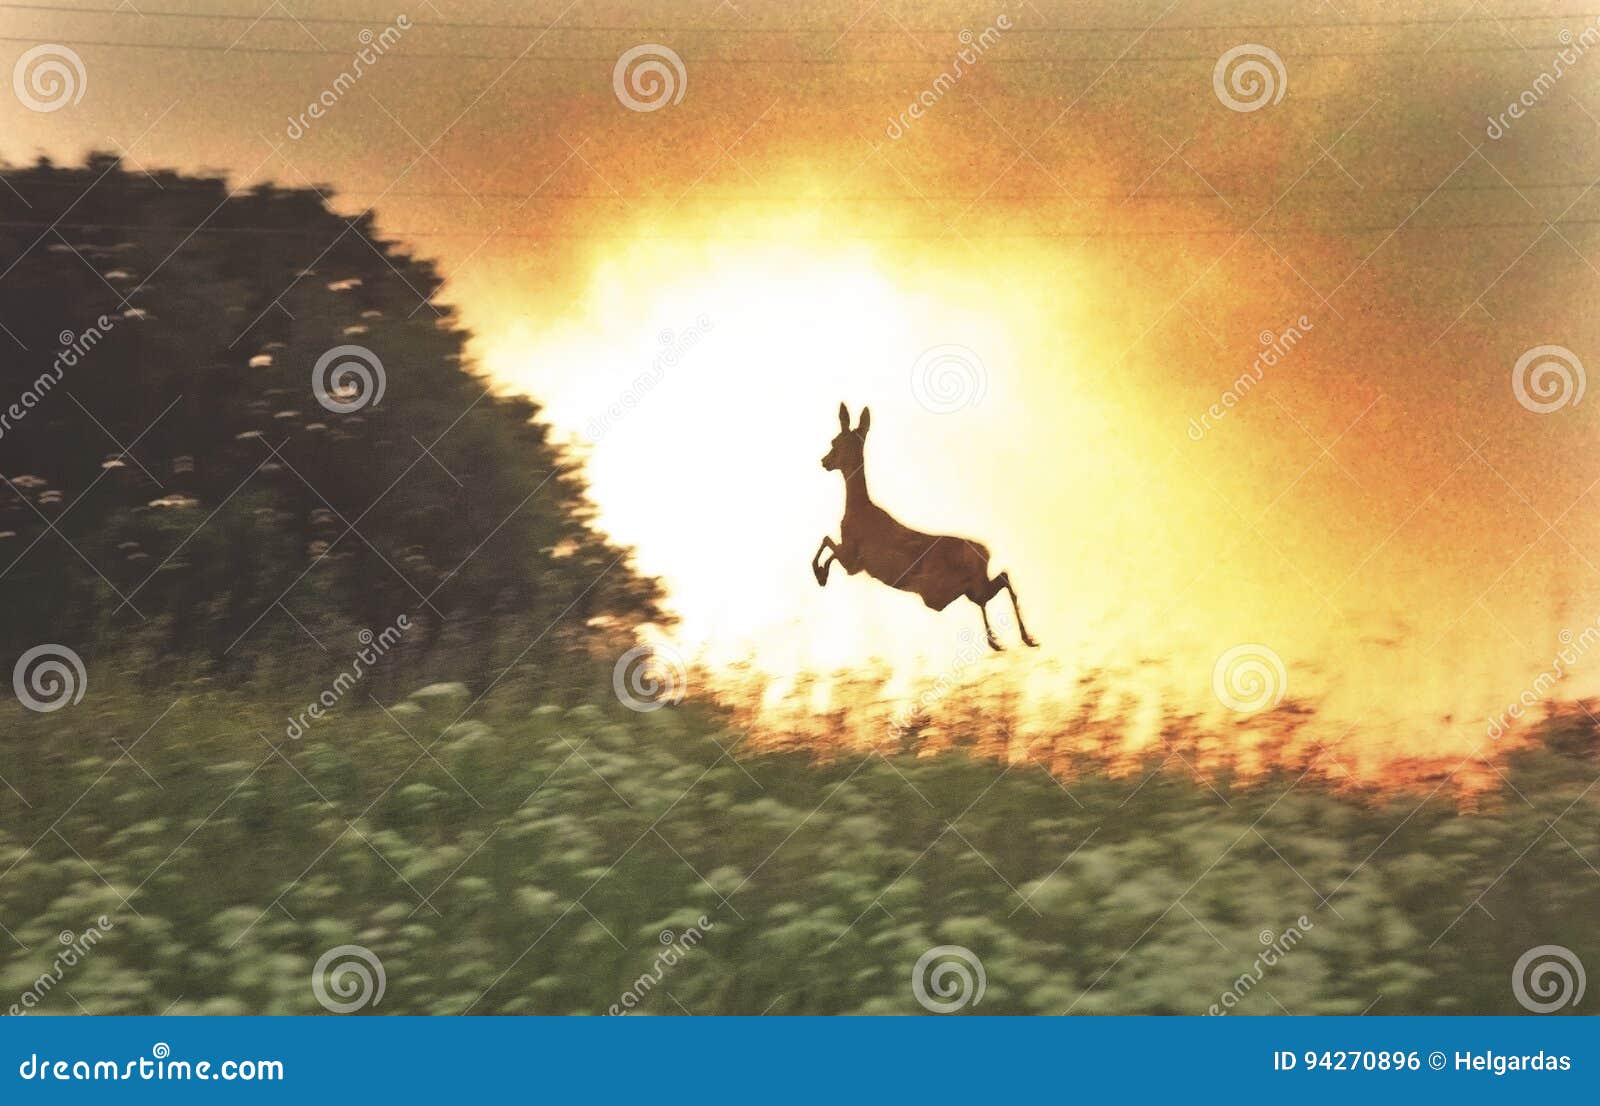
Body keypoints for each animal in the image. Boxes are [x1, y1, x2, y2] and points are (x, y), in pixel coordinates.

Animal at [812, 403, 1038, 651]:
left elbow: (826, 541)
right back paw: (1017, 640)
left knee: (988, 589)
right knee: (998, 582)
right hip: (952, 589)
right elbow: (827, 542)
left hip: (936, 591)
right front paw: (821, 574)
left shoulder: (853, 559)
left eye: (835, 442)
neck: (857, 509)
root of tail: (984, 553)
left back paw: (1002, 640)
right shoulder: (852, 558)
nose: (824, 461)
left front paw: (820, 574)